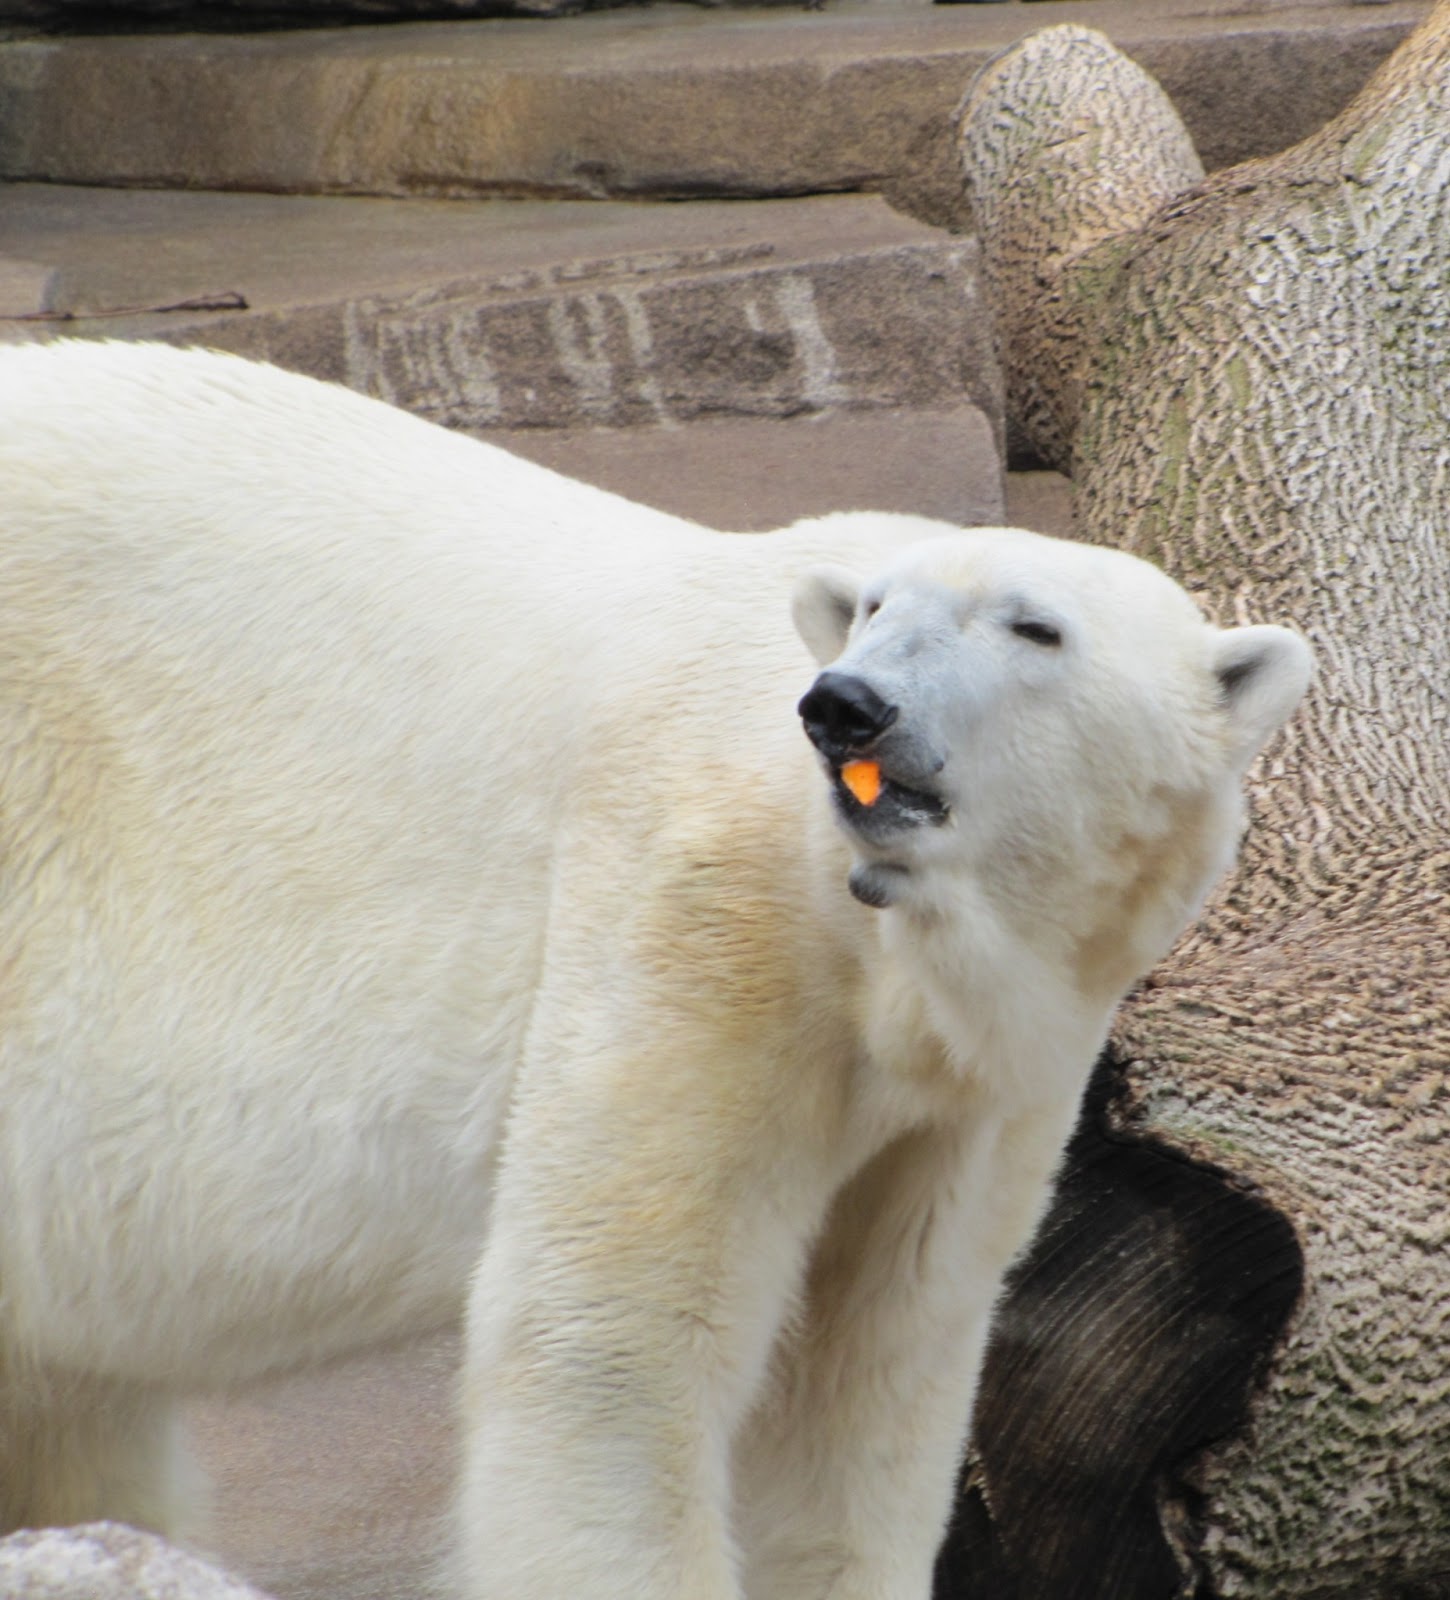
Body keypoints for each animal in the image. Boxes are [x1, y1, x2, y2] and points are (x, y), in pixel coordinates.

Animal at [0, 340, 1311, 1599]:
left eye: (1035, 627)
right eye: (874, 608)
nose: (848, 706)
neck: (887, 944)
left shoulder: (994, 1063)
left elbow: (882, 1352)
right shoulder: (706, 905)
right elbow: (615, 1331)